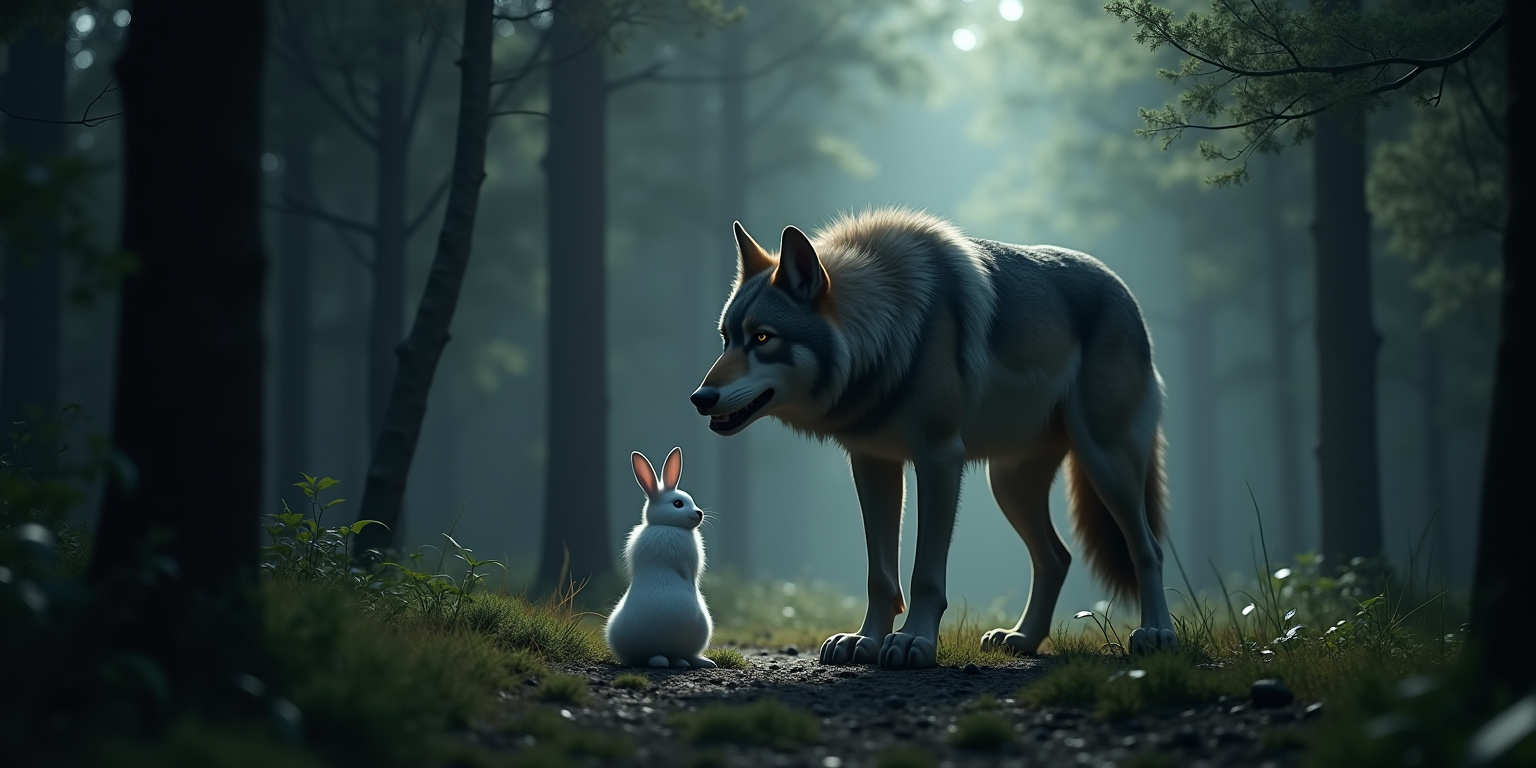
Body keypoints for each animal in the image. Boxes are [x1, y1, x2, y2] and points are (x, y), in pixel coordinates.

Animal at [688, 208, 1176, 670]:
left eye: (762, 338)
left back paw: (1156, 634)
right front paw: (864, 641)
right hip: (1010, 485)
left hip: (1104, 462)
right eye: (726, 339)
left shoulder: (940, 459)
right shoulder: (872, 463)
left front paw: (913, 642)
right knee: (1056, 557)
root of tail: (1125, 292)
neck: (891, 332)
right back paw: (1022, 639)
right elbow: (880, 575)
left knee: (1147, 548)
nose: (699, 398)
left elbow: (924, 572)